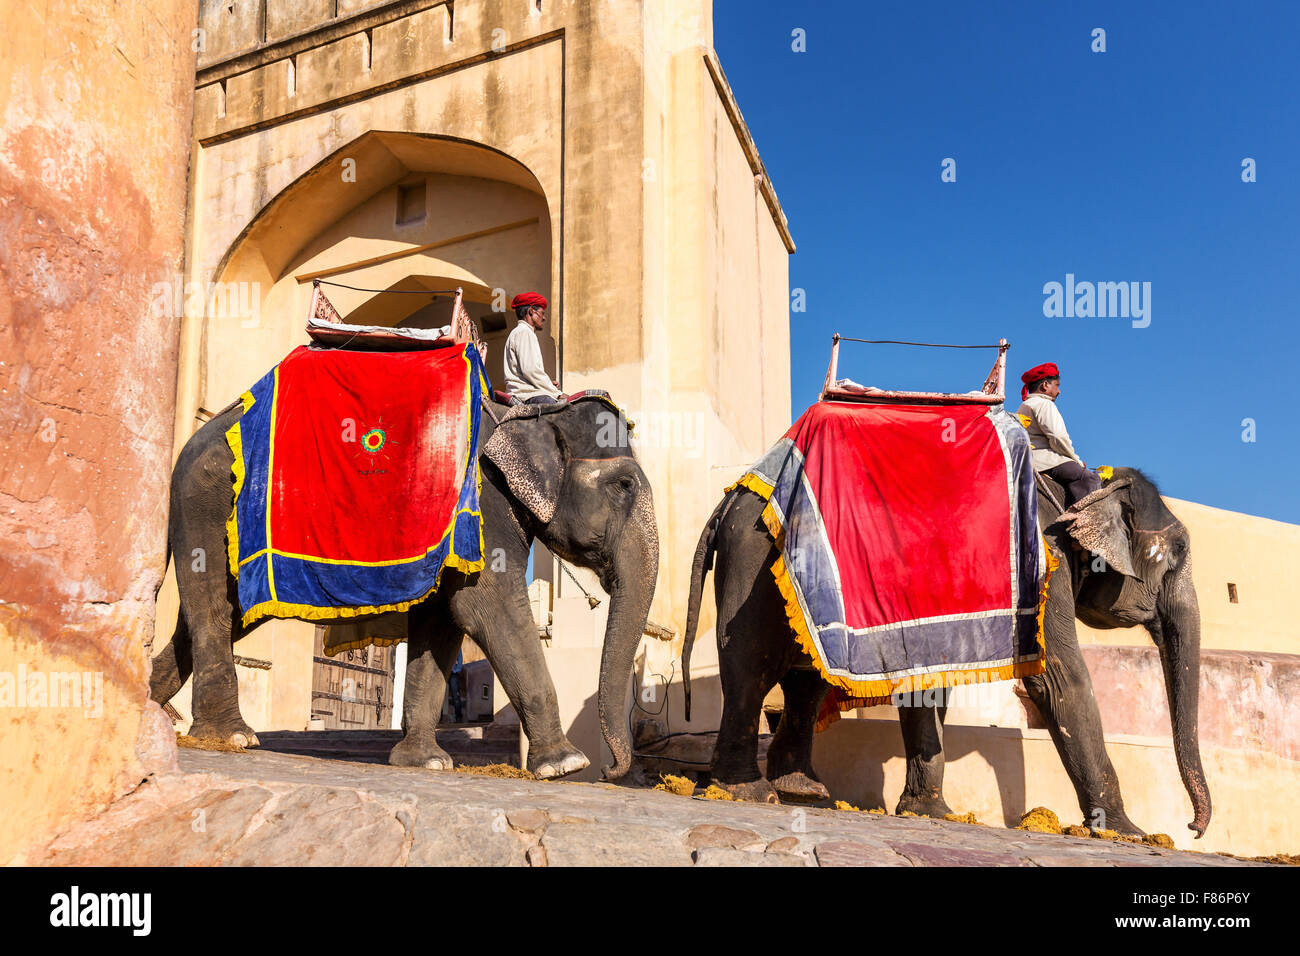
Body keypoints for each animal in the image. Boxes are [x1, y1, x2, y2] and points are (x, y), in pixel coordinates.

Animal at [151, 394, 658, 781]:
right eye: (624, 484)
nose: (612, 771)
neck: (530, 414)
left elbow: (444, 619)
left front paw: (426, 763)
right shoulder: (483, 503)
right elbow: (485, 605)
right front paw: (566, 765)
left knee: (217, 616)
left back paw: (157, 711)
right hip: (207, 497)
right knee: (214, 607)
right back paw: (230, 736)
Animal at [682, 466, 1211, 838]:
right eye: (1180, 552)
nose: (1193, 827)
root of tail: (727, 500)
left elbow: (933, 678)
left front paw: (933, 813)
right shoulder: (1044, 561)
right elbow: (1059, 676)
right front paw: (1132, 833)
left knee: (804, 679)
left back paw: (806, 793)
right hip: (753, 553)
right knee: (749, 666)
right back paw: (749, 794)